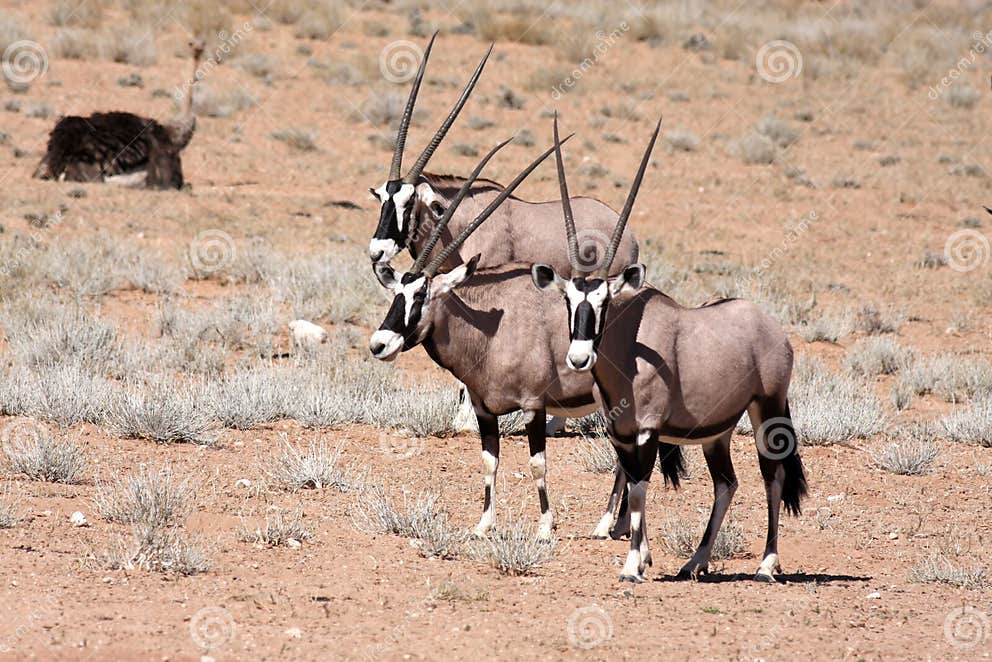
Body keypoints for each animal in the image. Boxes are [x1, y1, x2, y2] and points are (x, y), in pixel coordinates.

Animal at [368, 33, 637, 434]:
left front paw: (465, 417)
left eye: (408, 200)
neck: (457, 220)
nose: (377, 251)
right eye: (384, 198)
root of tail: (630, 235)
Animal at [369, 137, 632, 541]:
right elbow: (489, 461)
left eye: (422, 296)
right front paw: (483, 524)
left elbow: (537, 463)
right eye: (396, 293)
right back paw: (616, 523)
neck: (489, 333)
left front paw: (545, 526)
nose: (380, 344)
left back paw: (605, 524)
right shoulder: (486, 410)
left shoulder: (532, 406)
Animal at [532, 118, 809, 583]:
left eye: (604, 302)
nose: (579, 358)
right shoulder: (621, 432)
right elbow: (634, 486)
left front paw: (632, 565)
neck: (629, 348)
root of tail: (770, 327)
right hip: (718, 431)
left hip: (766, 407)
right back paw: (696, 561)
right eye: (568, 301)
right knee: (726, 482)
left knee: (772, 475)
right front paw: (642, 556)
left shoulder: (647, 430)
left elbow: (641, 488)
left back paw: (767, 564)